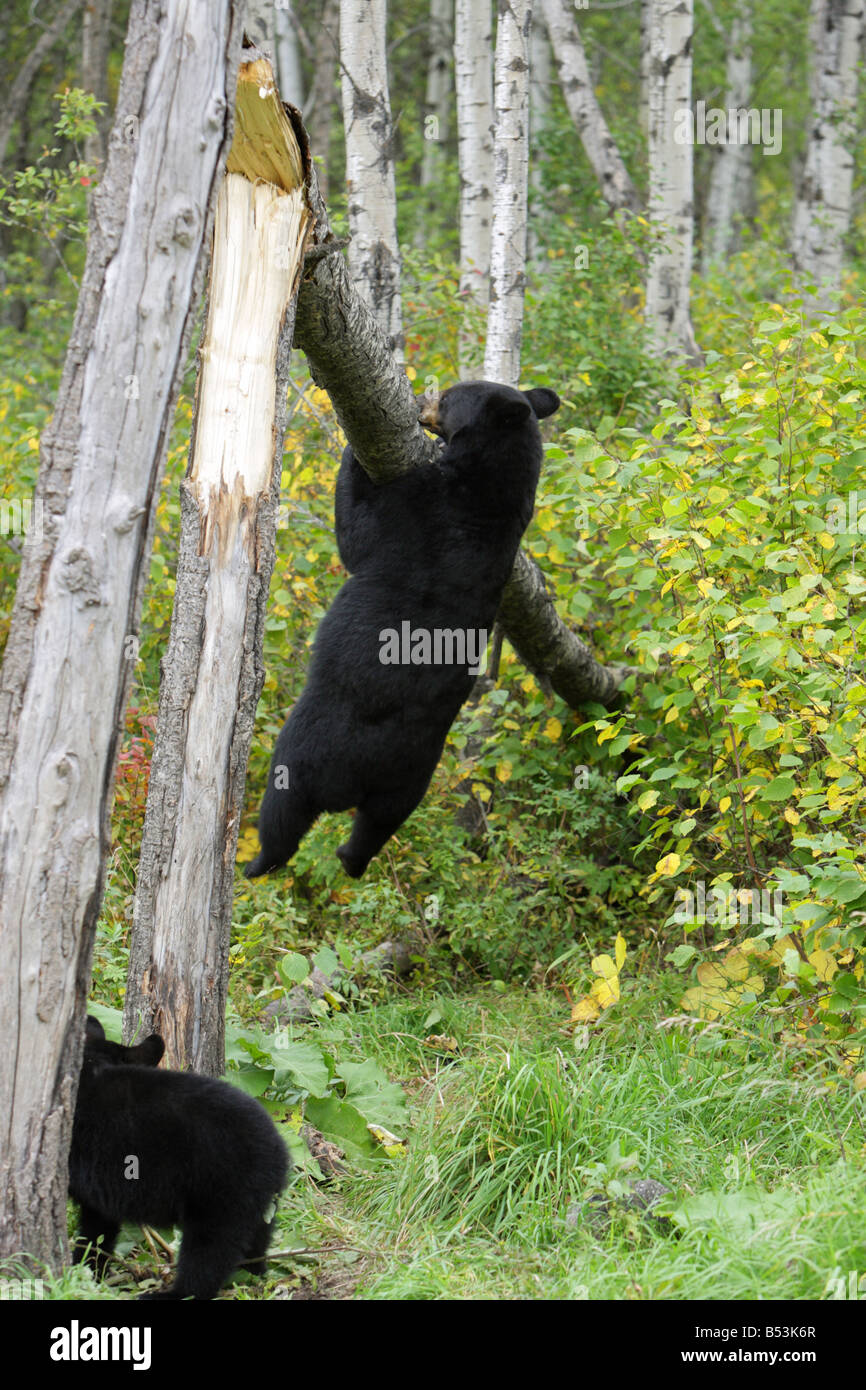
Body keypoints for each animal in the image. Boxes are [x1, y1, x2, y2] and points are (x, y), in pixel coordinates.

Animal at [68, 1015, 289, 1300]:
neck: (92, 1065)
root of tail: (279, 1152)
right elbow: (99, 1228)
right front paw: (88, 1270)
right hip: (261, 1202)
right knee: (258, 1239)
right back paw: (254, 1271)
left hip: (222, 1191)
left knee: (209, 1252)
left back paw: (170, 1293)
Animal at [244, 380, 560, 880]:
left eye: (449, 396)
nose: (422, 402)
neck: (492, 485)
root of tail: (358, 778)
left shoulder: (423, 506)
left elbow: (358, 535)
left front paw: (352, 451)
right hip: (410, 783)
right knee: (378, 825)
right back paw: (350, 858)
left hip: (308, 748)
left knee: (284, 806)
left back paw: (258, 862)